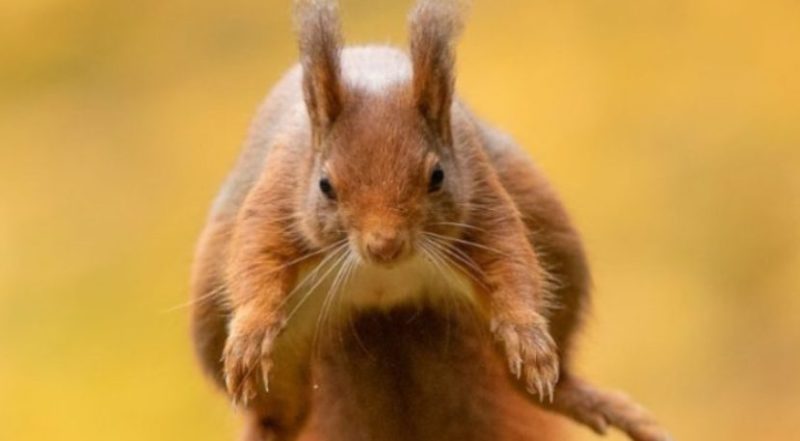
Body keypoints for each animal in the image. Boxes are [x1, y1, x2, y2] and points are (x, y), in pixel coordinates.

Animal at [189, 1, 672, 440]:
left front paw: (527, 335)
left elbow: (512, 262)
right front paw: (251, 333)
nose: (385, 246)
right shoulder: (276, 195)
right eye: (325, 185)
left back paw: (576, 395)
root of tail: (384, 311)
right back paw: (264, 426)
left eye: (436, 176)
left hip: (558, 250)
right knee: (279, 416)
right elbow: (255, 259)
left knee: (532, 384)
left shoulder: (481, 192)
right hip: (219, 326)